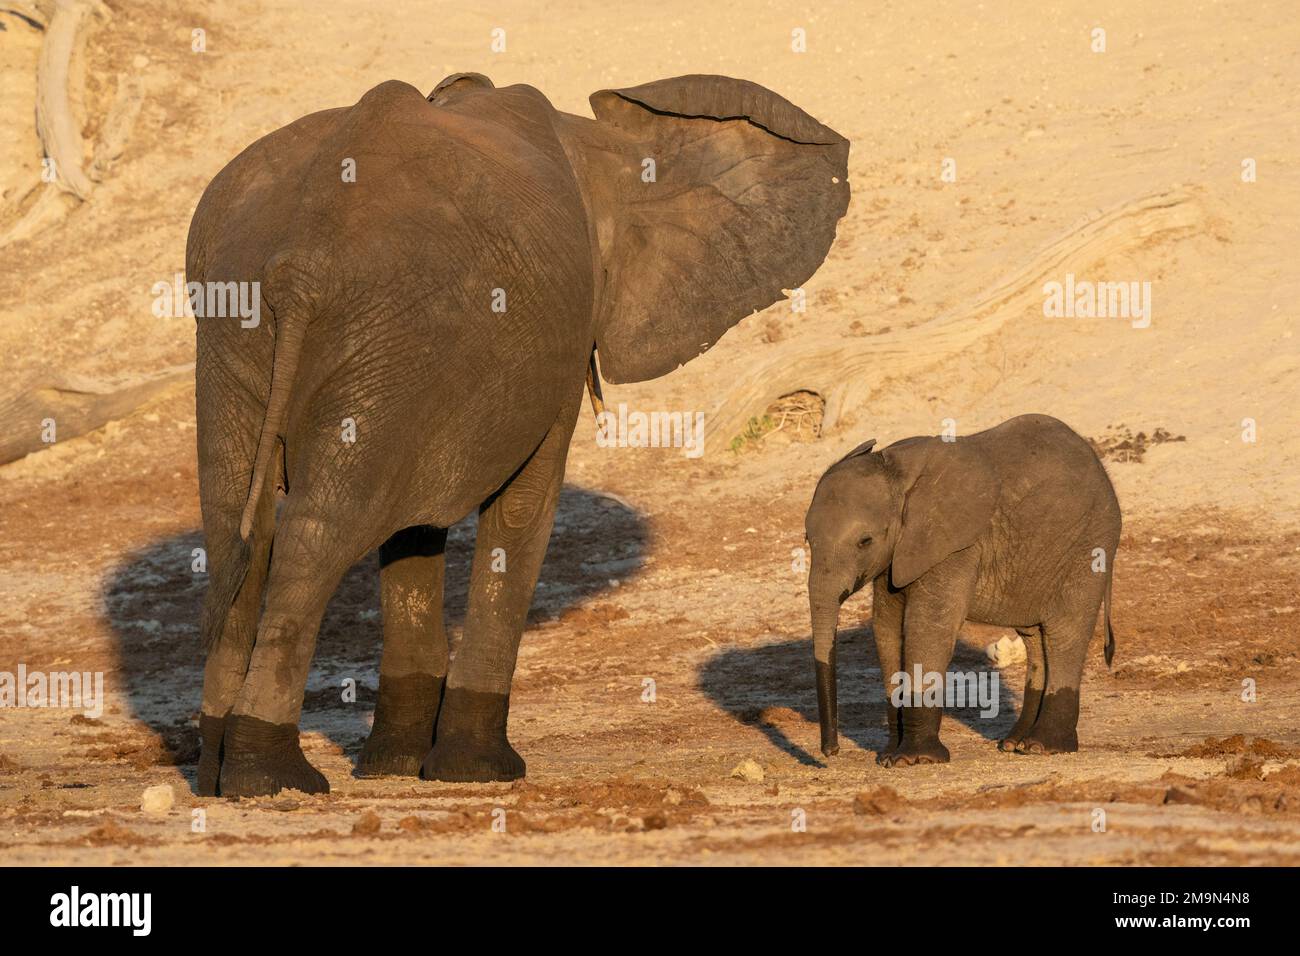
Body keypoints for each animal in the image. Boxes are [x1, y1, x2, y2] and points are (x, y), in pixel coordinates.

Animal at [186, 72, 850, 796]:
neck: (600, 146)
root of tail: (299, 265)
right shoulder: (536, 346)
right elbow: (520, 507)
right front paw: (478, 772)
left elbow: (413, 530)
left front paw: (396, 766)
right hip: (370, 327)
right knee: (316, 533)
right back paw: (271, 776)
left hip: (237, 326)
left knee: (238, 529)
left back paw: (216, 768)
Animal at [803, 414, 1120, 766]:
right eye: (807, 538)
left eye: (865, 541)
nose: (831, 752)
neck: (896, 471)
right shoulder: (895, 558)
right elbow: (887, 629)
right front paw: (887, 757)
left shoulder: (954, 545)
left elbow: (927, 628)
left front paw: (914, 760)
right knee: (1035, 638)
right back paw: (1015, 744)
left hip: (1090, 545)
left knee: (1064, 634)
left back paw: (1044, 746)